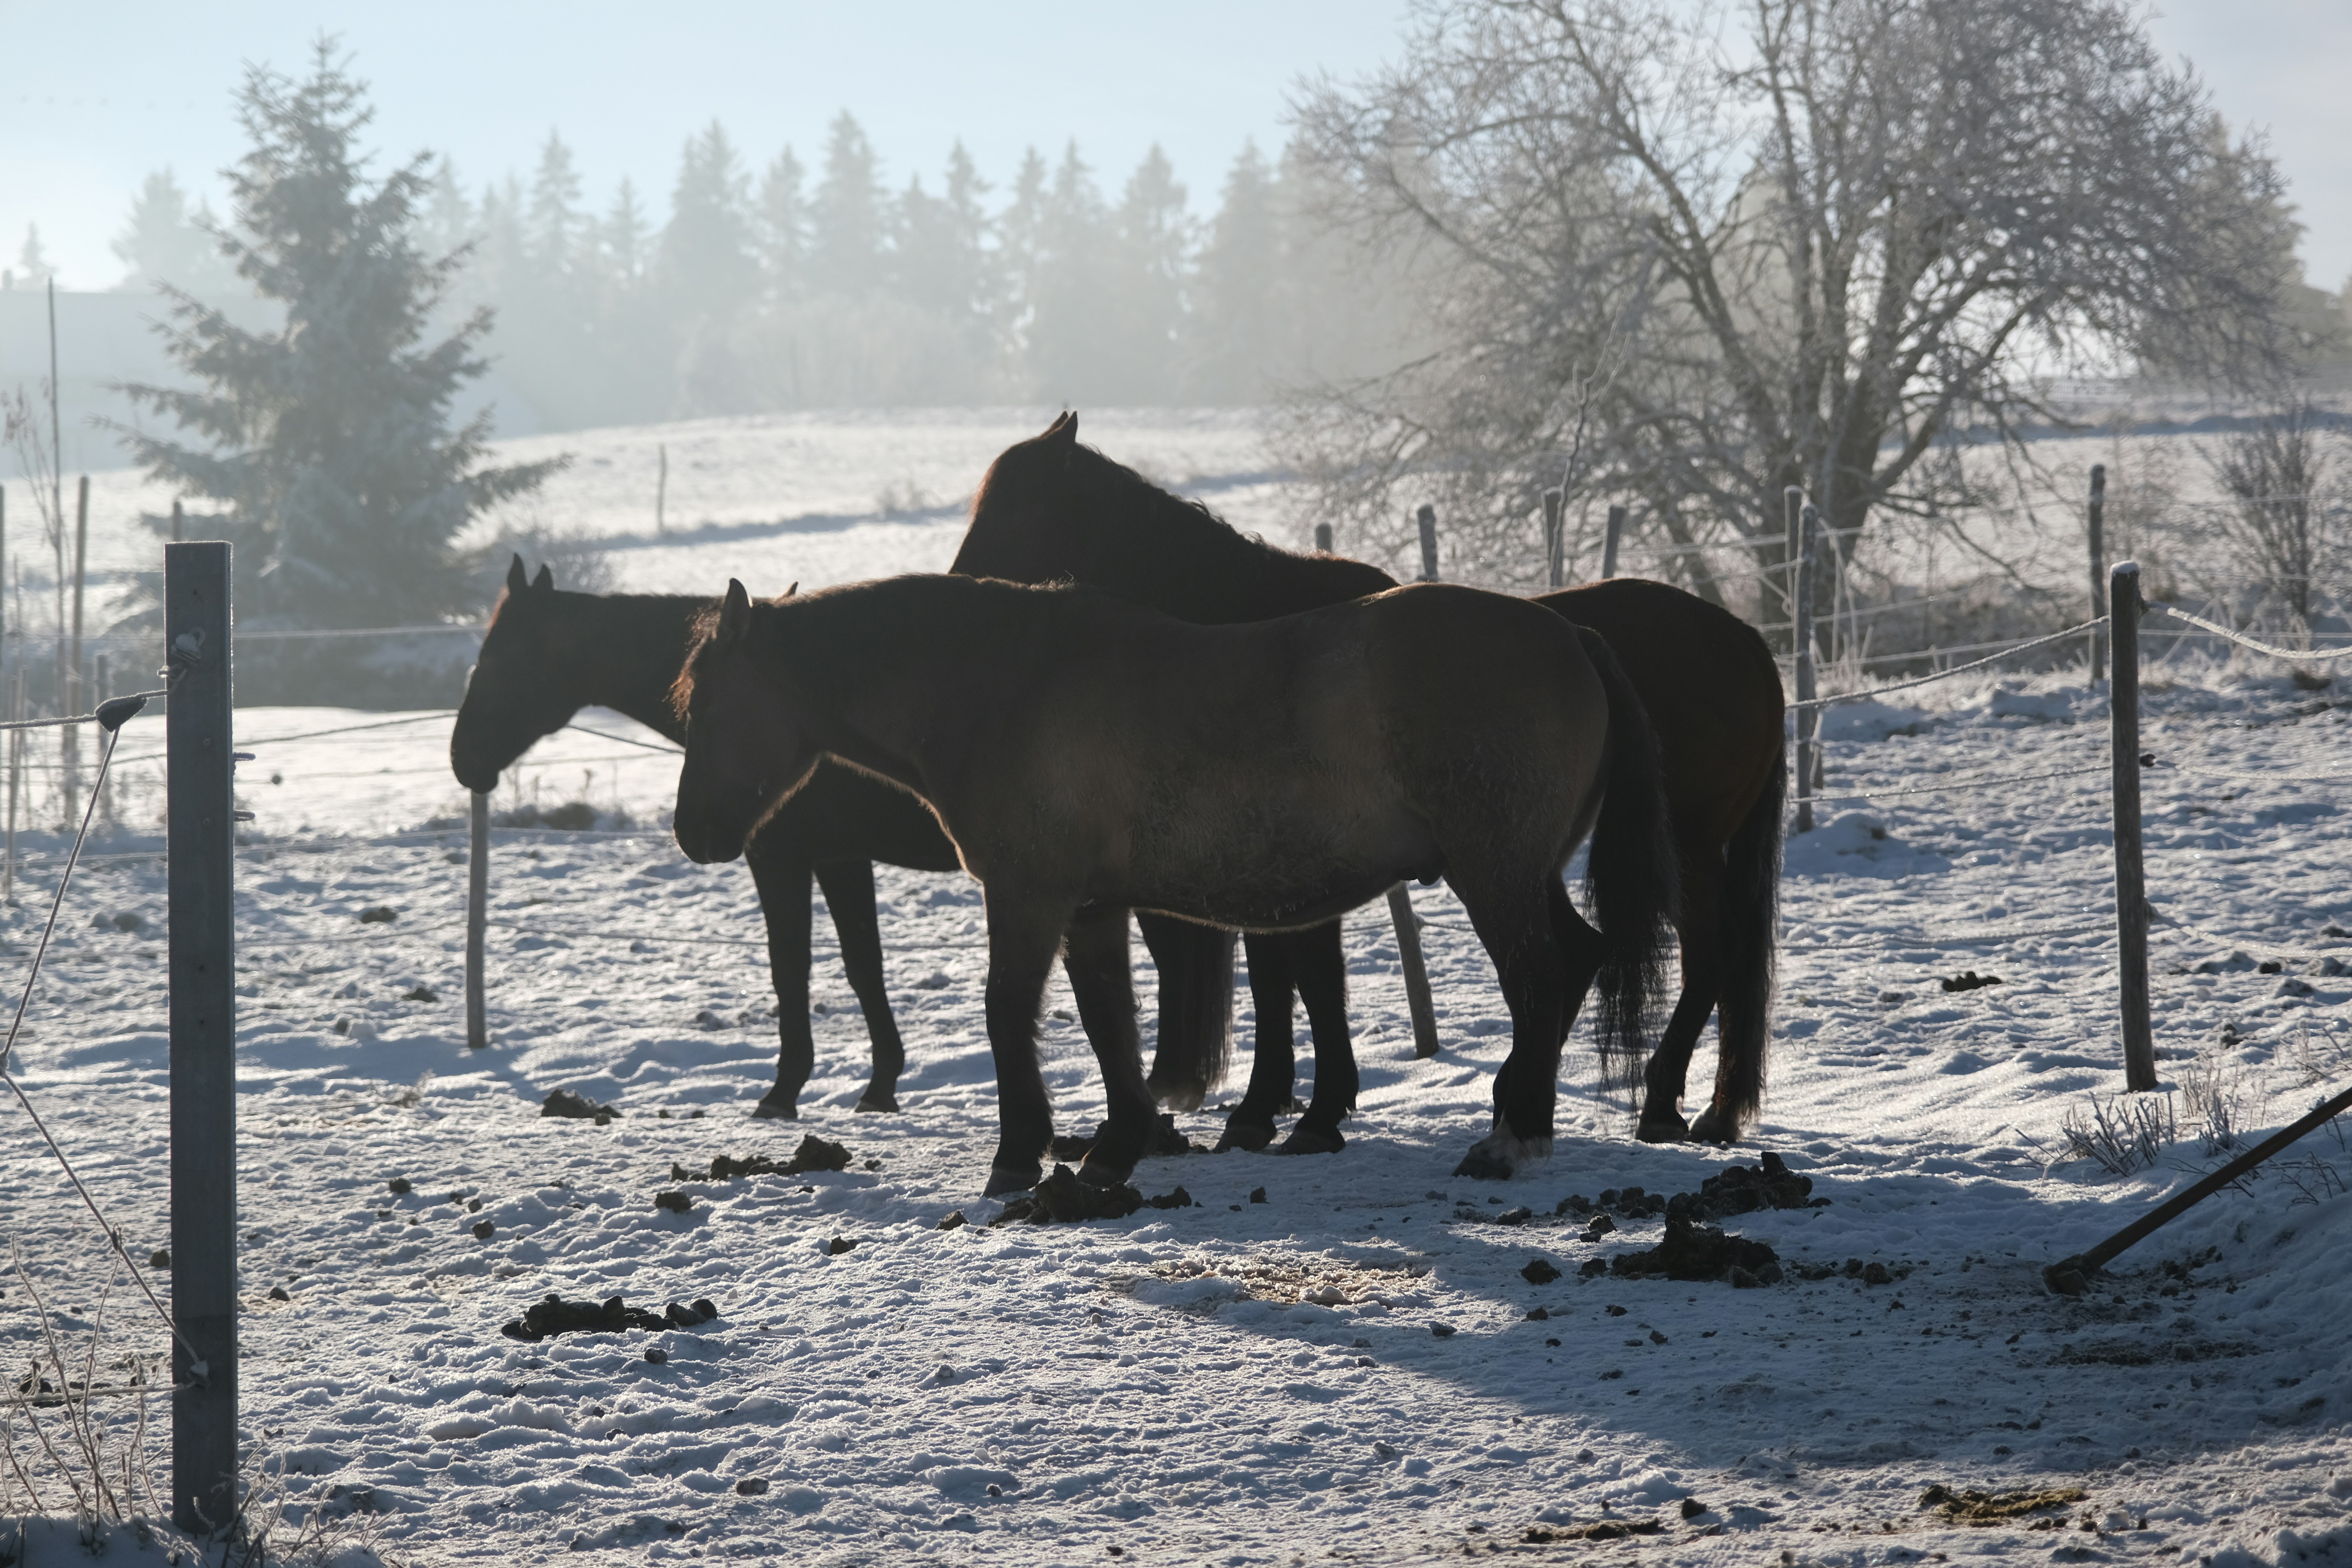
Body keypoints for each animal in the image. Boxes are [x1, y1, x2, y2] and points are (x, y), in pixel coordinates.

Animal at [449, 555, 963, 1118]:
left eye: (497, 661)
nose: (462, 757)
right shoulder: (840, 859)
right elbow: (863, 965)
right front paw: (880, 1086)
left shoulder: (782, 858)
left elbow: (791, 965)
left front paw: (784, 1091)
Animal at [670, 574, 1678, 1194]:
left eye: (708, 705)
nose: (691, 832)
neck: (1004, 685)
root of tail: (1569, 631)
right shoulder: (1091, 908)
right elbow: (1108, 1022)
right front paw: (1114, 1148)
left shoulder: (1030, 897)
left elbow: (1008, 1012)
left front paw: (1017, 1155)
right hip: (1522, 874)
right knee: (1574, 961)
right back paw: (1520, 1114)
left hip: (1493, 874)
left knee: (1540, 977)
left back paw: (1513, 1135)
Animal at [958, 413, 1786, 1149]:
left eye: (1017, 507)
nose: (962, 588)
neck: (1241, 620)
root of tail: (1746, 642)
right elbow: (1286, 978)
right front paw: (1279, 1105)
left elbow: (1302, 980)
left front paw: (1290, 1111)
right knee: (1606, 957)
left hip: (1659, 849)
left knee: (1698, 956)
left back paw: (1638, 1101)